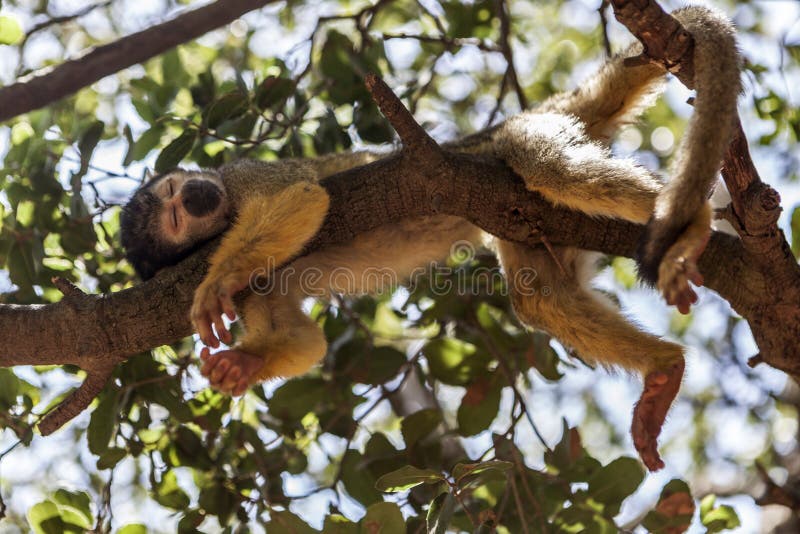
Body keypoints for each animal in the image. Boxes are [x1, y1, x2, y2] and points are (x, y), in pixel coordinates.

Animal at [119, 6, 740, 472]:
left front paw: (213, 283)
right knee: (538, 295)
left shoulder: (245, 177)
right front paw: (243, 365)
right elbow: (303, 341)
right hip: (525, 218)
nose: (196, 195)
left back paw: (691, 229)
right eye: (173, 221)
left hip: (528, 134)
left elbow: (302, 197)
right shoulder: (258, 292)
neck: (223, 225)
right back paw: (663, 371)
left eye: (175, 190)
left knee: (544, 166)